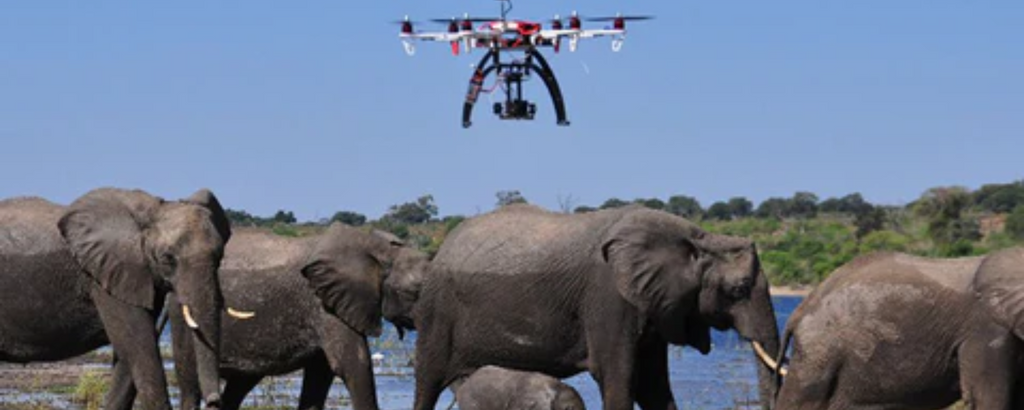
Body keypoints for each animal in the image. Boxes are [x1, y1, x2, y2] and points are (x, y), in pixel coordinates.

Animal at [0, 187, 250, 410]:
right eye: (167, 258)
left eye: (220, 257)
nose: (215, 401)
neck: (152, 211)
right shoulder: (105, 276)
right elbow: (140, 347)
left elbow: (127, 355)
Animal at [168, 222, 431, 410]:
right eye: (412, 293)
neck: (376, 247)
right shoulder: (324, 305)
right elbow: (353, 364)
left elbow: (320, 375)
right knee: (190, 386)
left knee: (239, 386)